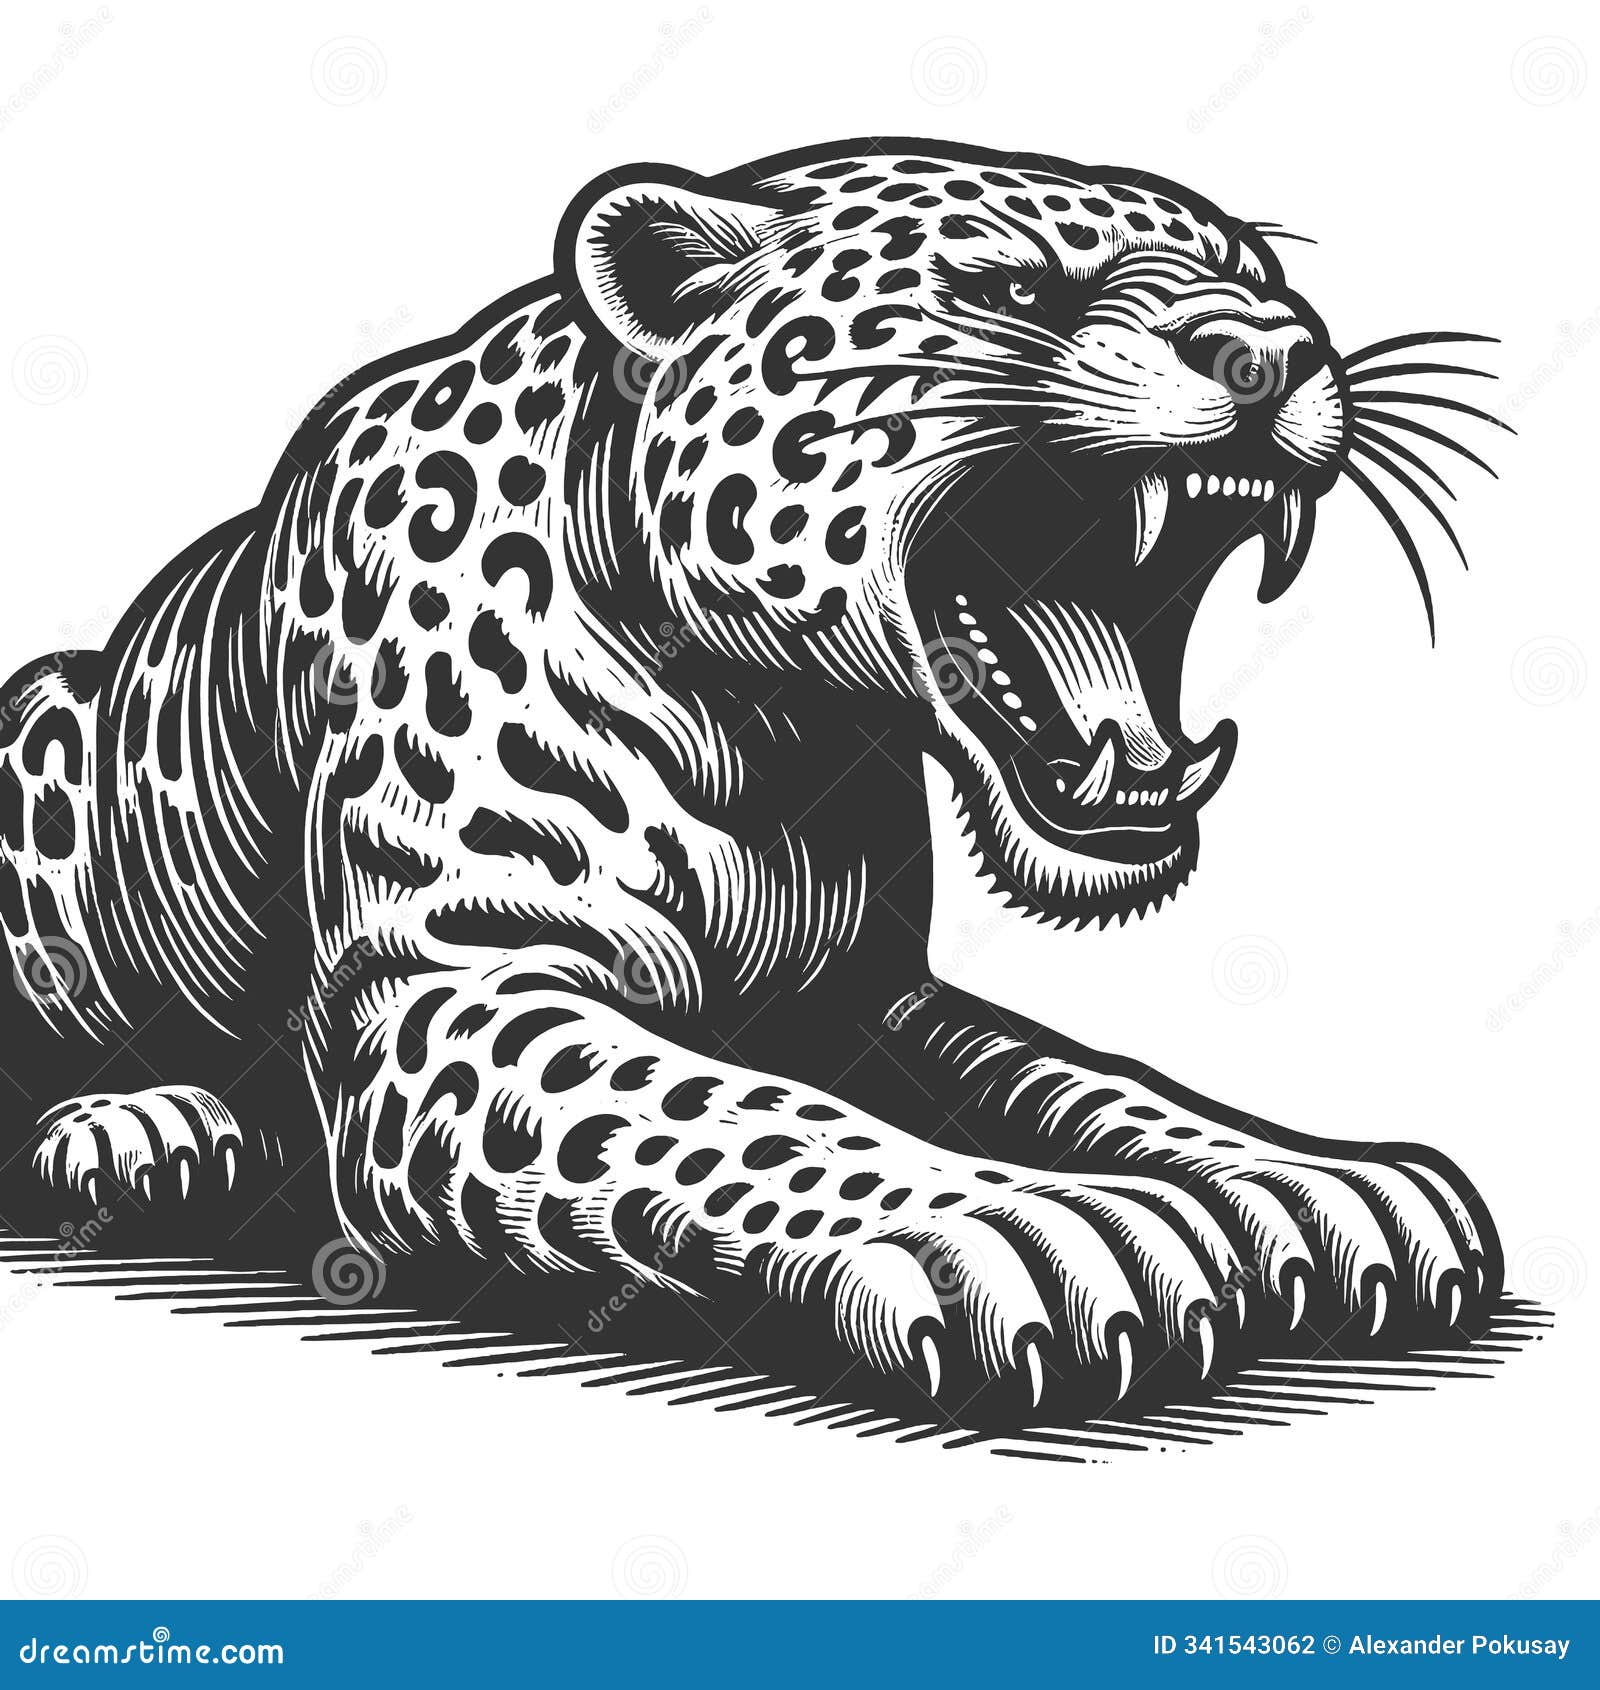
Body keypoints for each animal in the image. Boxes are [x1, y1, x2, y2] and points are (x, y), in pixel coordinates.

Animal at [0, 137, 1503, 1418]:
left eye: (1272, 286)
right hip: (42, 740)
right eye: (1008, 288)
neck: (780, 737)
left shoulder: (866, 998)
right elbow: (748, 1116)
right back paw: (142, 1127)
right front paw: (1028, 1226)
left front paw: (1313, 1178)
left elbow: (1083, 1079)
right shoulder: (453, 983)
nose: (1267, 350)